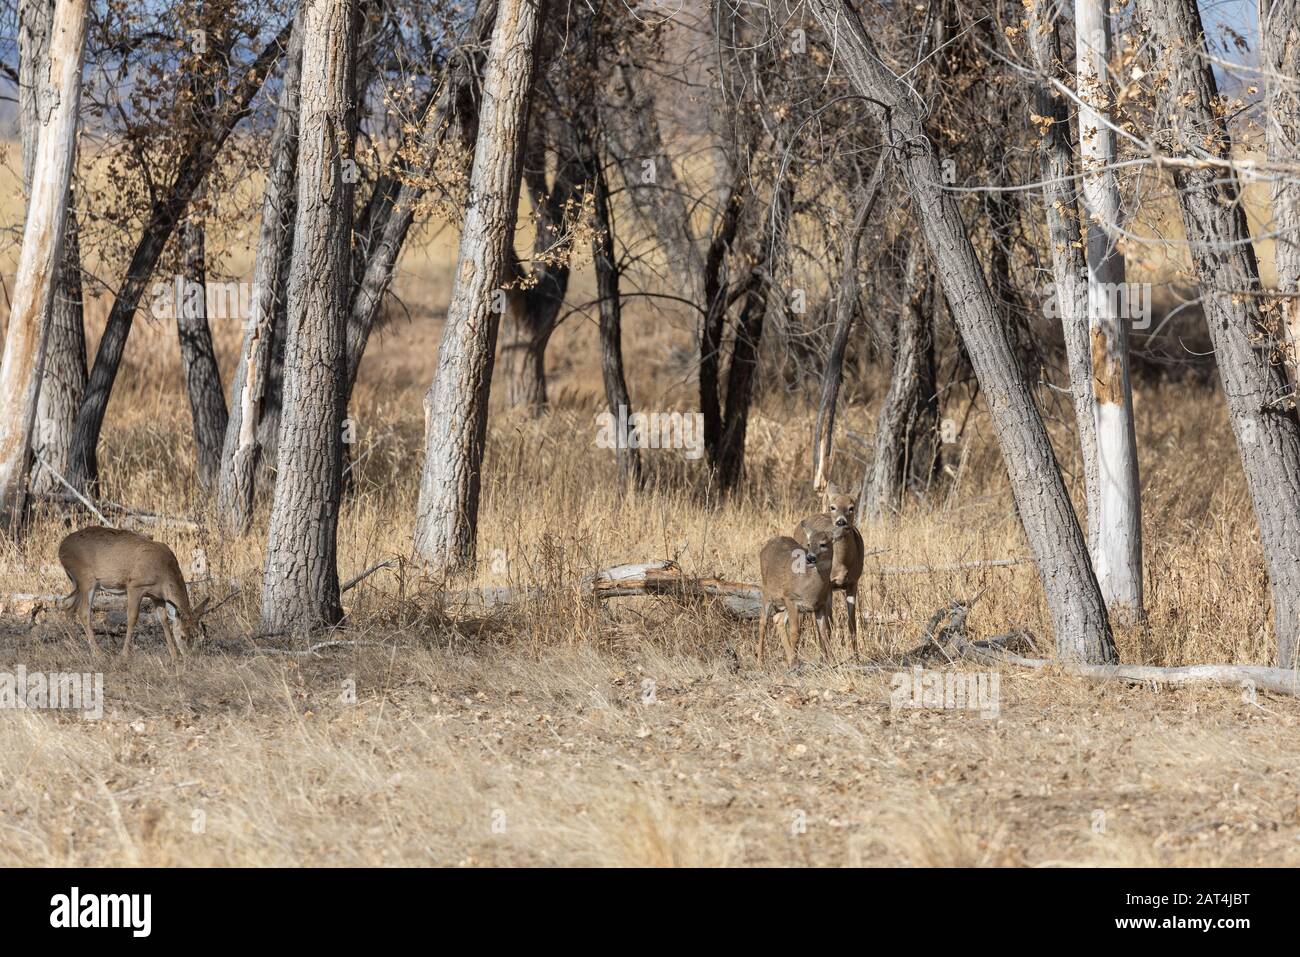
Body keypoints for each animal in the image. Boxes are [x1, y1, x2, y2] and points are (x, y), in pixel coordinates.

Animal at [58, 526, 209, 660]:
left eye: (199, 635)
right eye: (183, 636)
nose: (191, 656)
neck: (163, 573)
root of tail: (61, 548)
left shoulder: (157, 597)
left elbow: (164, 620)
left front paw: (174, 655)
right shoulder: (135, 586)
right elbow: (132, 618)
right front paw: (124, 655)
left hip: (77, 582)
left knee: (68, 603)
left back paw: (73, 646)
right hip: (86, 578)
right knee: (83, 611)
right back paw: (97, 653)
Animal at [757, 518, 835, 668]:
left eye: (823, 544)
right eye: (809, 544)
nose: (810, 558)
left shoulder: (820, 605)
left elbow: (825, 632)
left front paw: (831, 662)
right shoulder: (790, 598)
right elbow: (795, 632)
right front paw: (793, 663)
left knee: (777, 619)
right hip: (767, 591)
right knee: (763, 622)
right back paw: (761, 660)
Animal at [797, 482, 865, 659]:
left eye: (851, 507)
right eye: (833, 507)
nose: (841, 522)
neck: (841, 564)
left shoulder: (853, 583)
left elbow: (851, 624)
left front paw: (856, 656)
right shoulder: (828, 585)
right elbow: (827, 625)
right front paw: (829, 657)